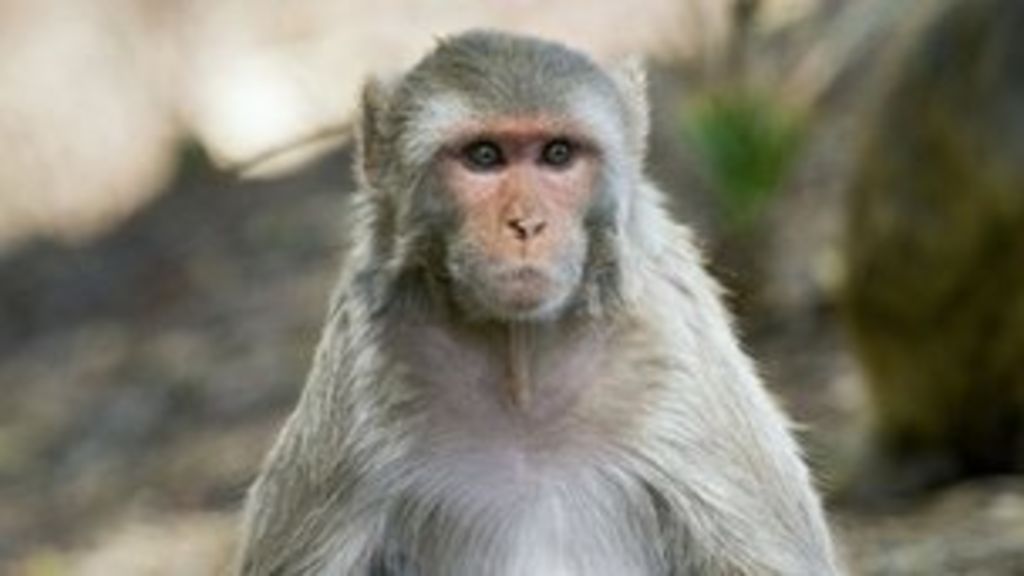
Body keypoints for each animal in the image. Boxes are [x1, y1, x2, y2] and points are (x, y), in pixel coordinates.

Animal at [236, 30, 839, 576]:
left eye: (557, 154)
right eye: (484, 156)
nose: (526, 223)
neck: (521, 355)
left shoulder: (674, 343)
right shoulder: (364, 359)